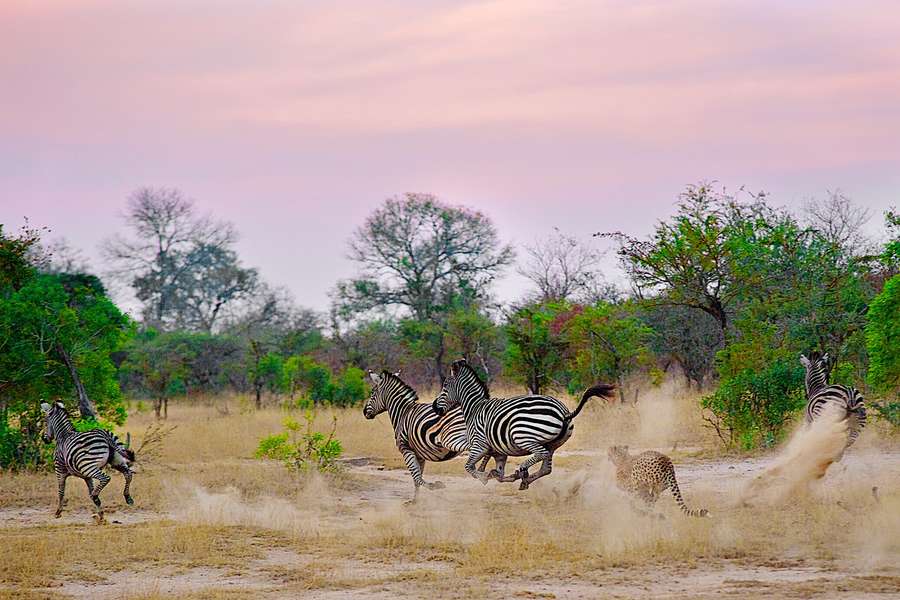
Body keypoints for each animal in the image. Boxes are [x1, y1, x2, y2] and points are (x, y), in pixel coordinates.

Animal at [364, 370, 493, 501]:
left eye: (372, 393)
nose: (364, 412)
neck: (402, 413)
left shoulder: (406, 449)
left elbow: (416, 477)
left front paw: (434, 486)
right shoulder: (419, 454)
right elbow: (417, 478)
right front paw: (415, 500)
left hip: (453, 437)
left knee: (484, 449)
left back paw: (483, 473)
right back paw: (485, 472)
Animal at [432, 358, 616, 490]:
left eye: (445, 386)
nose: (434, 407)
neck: (474, 408)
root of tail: (564, 412)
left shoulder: (479, 445)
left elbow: (469, 467)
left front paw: (484, 477)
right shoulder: (497, 451)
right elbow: (498, 473)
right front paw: (494, 474)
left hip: (523, 435)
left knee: (541, 455)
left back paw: (522, 470)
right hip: (553, 443)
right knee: (546, 468)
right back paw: (524, 480)